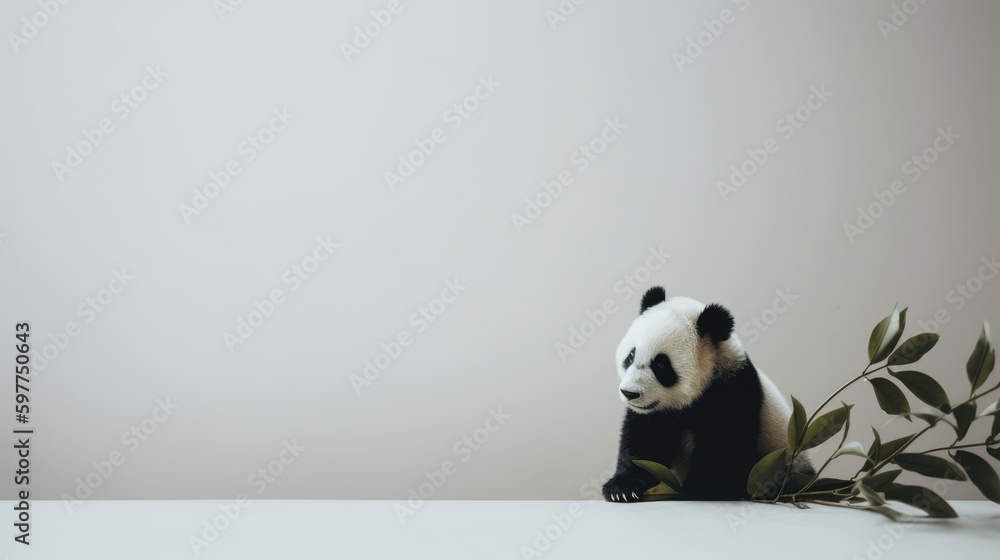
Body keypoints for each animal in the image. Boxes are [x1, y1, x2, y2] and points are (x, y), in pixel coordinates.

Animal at [602, 287, 812, 502]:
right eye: (631, 356)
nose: (629, 393)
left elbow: (723, 447)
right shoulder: (657, 412)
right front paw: (623, 489)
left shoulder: (733, 390)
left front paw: (700, 489)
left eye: (661, 365)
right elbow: (645, 440)